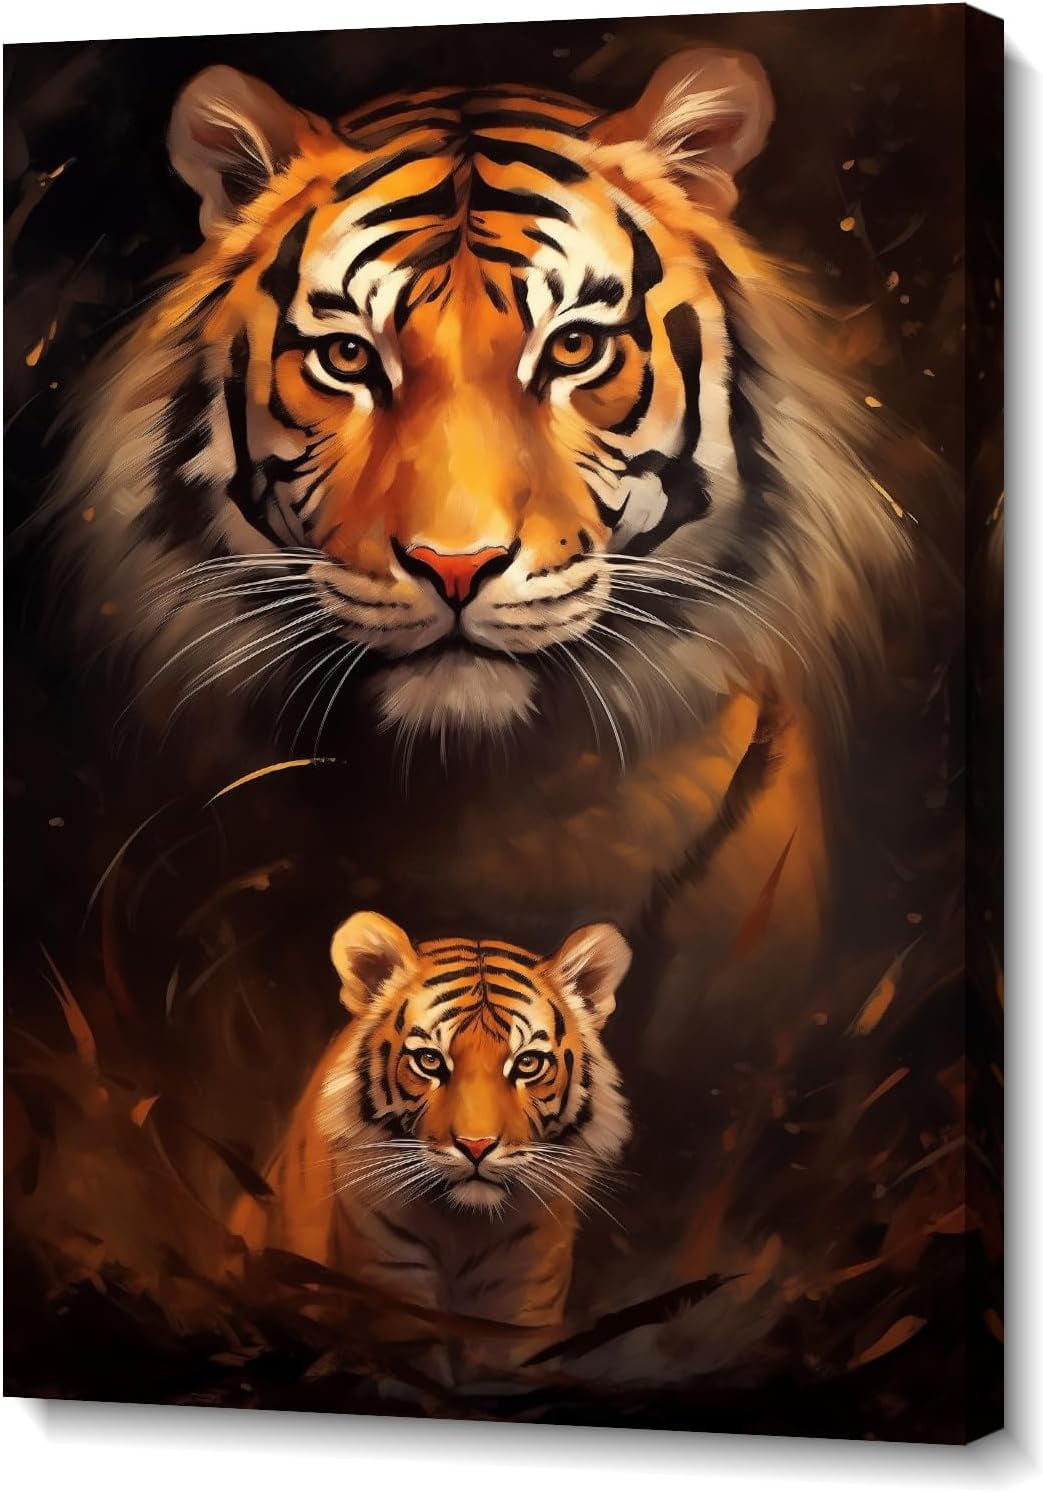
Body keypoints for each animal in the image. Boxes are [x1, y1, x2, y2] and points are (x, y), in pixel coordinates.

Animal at [230, 911, 632, 1365]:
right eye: (429, 1061)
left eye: (527, 1063)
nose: (476, 1147)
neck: (463, 1228)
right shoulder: (391, 1290)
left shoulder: (524, 1300)